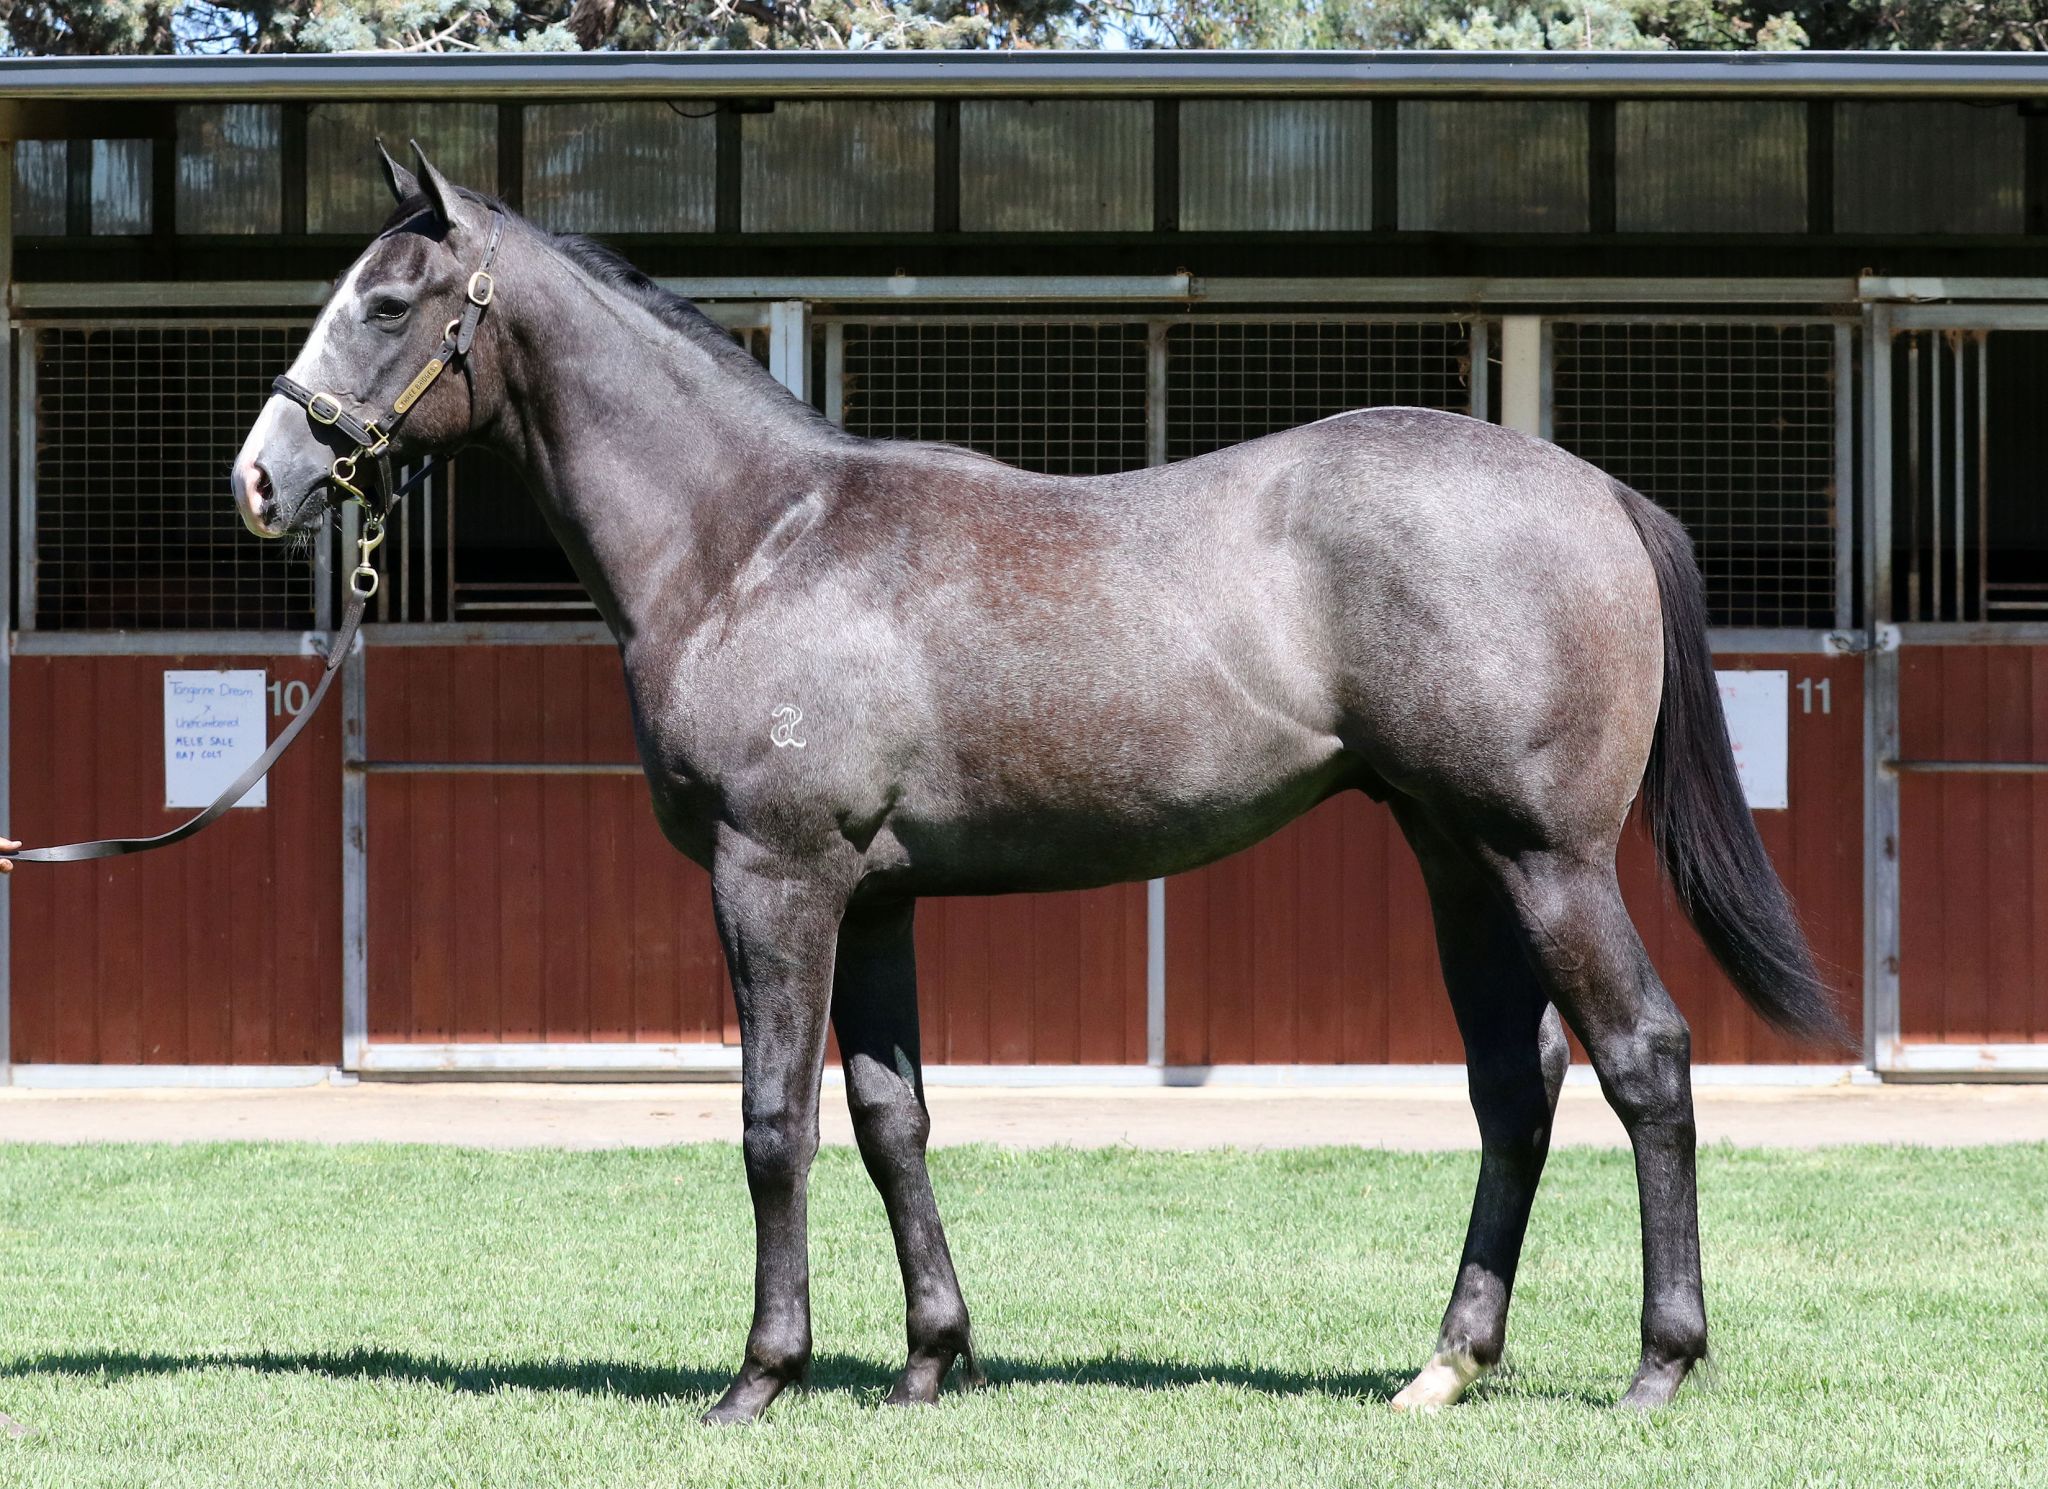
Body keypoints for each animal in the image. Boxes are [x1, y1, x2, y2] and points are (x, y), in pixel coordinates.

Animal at [230, 144, 1842, 1424]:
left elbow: (772, 1125)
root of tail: (1595, 491)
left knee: (1645, 1062)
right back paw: (1444, 1364)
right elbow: (890, 1121)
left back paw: (1658, 1364)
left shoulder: (775, 879)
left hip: (1547, 858)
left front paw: (761, 1376)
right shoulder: (874, 901)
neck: (753, 538)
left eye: (387, 304)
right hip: (1458, 857)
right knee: (1517, 1081)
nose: (260, 478)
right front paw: (931, 1360)